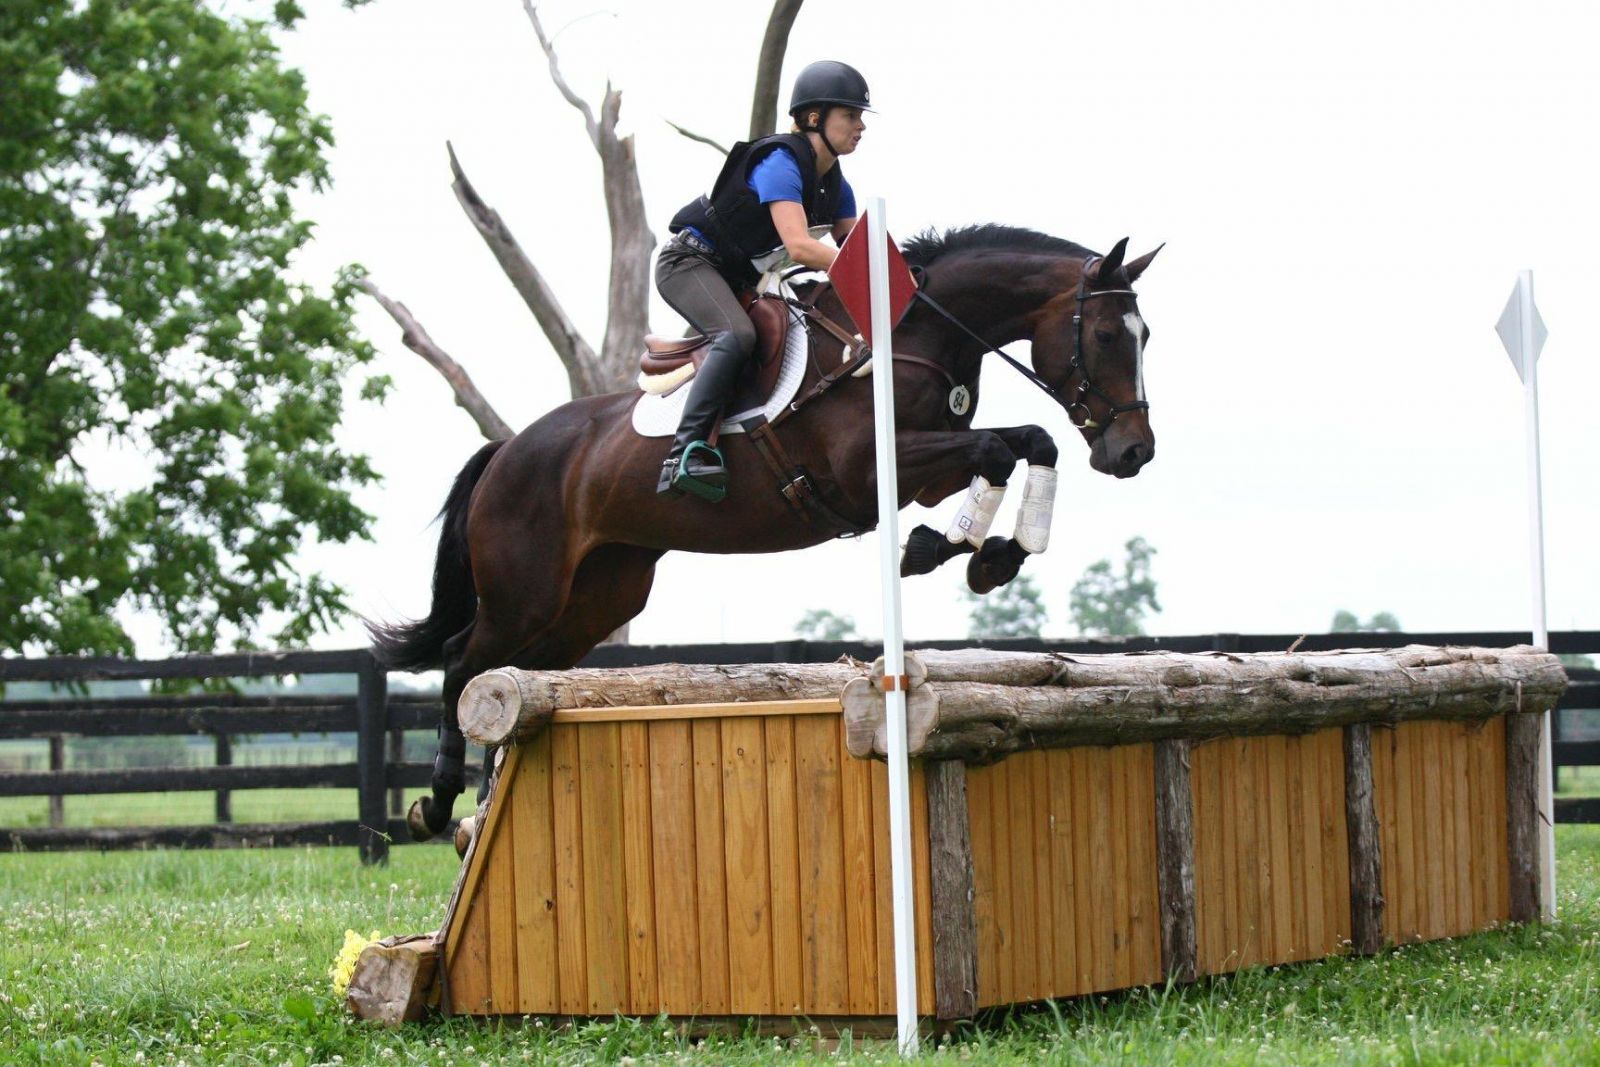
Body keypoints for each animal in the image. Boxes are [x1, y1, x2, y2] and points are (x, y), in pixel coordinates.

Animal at [369, 223, 1162, 840]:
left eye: (1145, 335)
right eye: (1102, 334)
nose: (1134, 453)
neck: (910, 338)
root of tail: (506, 449)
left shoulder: (927, 471)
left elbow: (1027, 442)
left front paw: (990, 553)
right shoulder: (867, 473)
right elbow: (999, 448)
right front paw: (946, 549)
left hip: (600, 595)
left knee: (515, 674)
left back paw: (480, 802)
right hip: (525, 591)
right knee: (462, 661)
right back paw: (437, 806)